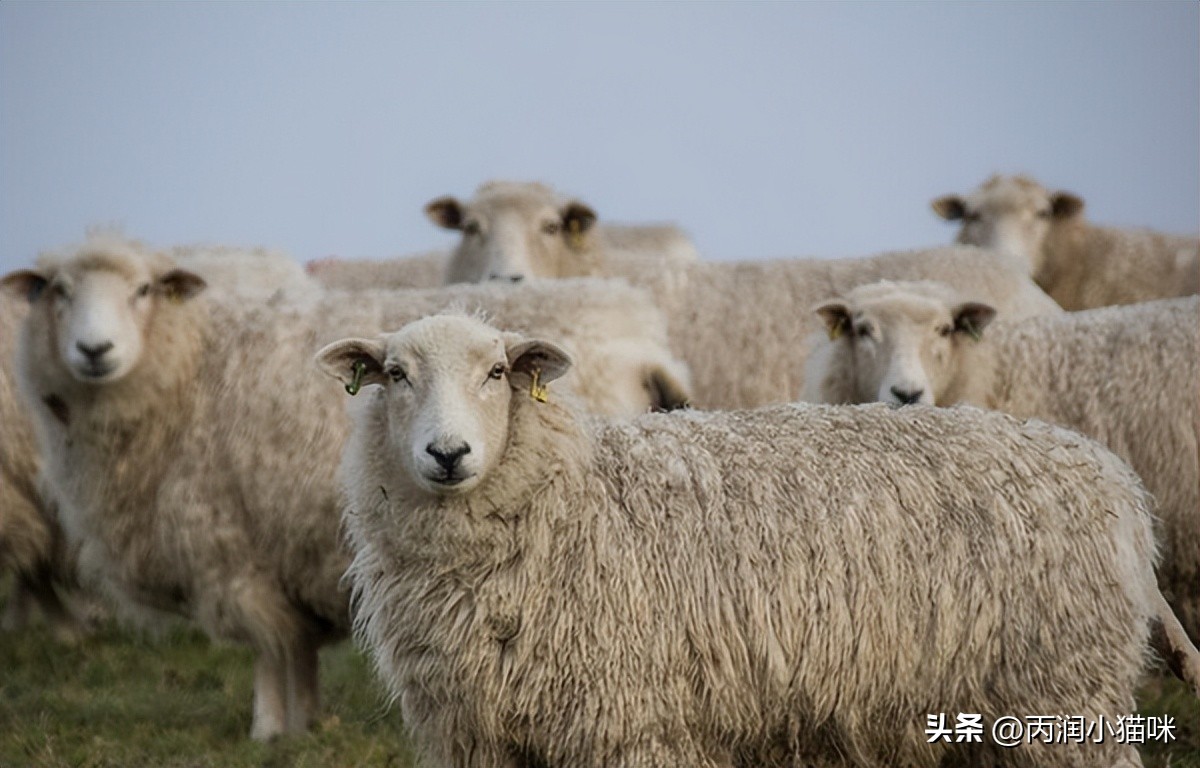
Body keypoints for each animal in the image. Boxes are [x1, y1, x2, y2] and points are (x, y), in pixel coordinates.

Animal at [1, 235, 691, 739]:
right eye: (58, 291)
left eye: (142, 290)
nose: (94, 350)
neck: (188, 367)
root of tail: (642, 342)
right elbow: (296, 649)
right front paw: (304, 723)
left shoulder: (232, 546)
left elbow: (268, 649)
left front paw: (268, 730)